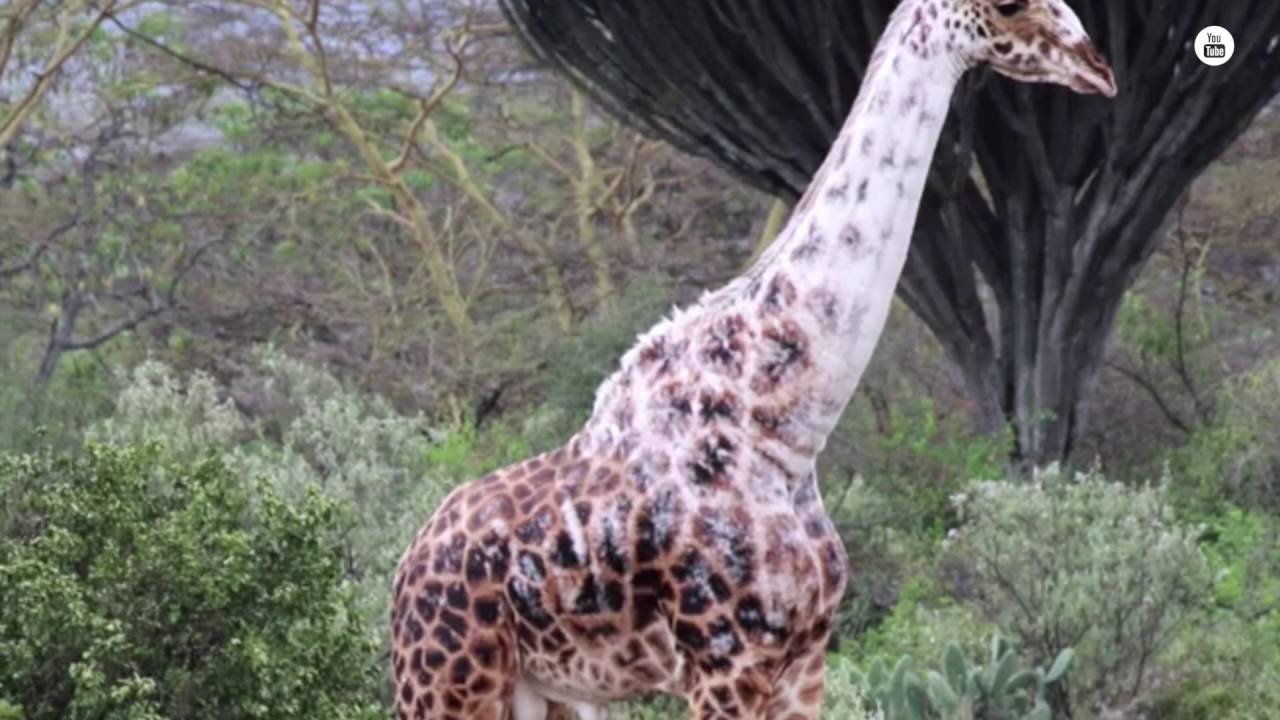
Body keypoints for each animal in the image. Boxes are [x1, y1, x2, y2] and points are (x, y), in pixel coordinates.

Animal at [391, 1, 1116, 718]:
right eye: (1009, 7)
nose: (1098, 68)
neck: (782, 428)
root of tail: (403, 571)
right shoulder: (725, 653)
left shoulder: (806, 654)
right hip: (452, 683)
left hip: (550, 690)